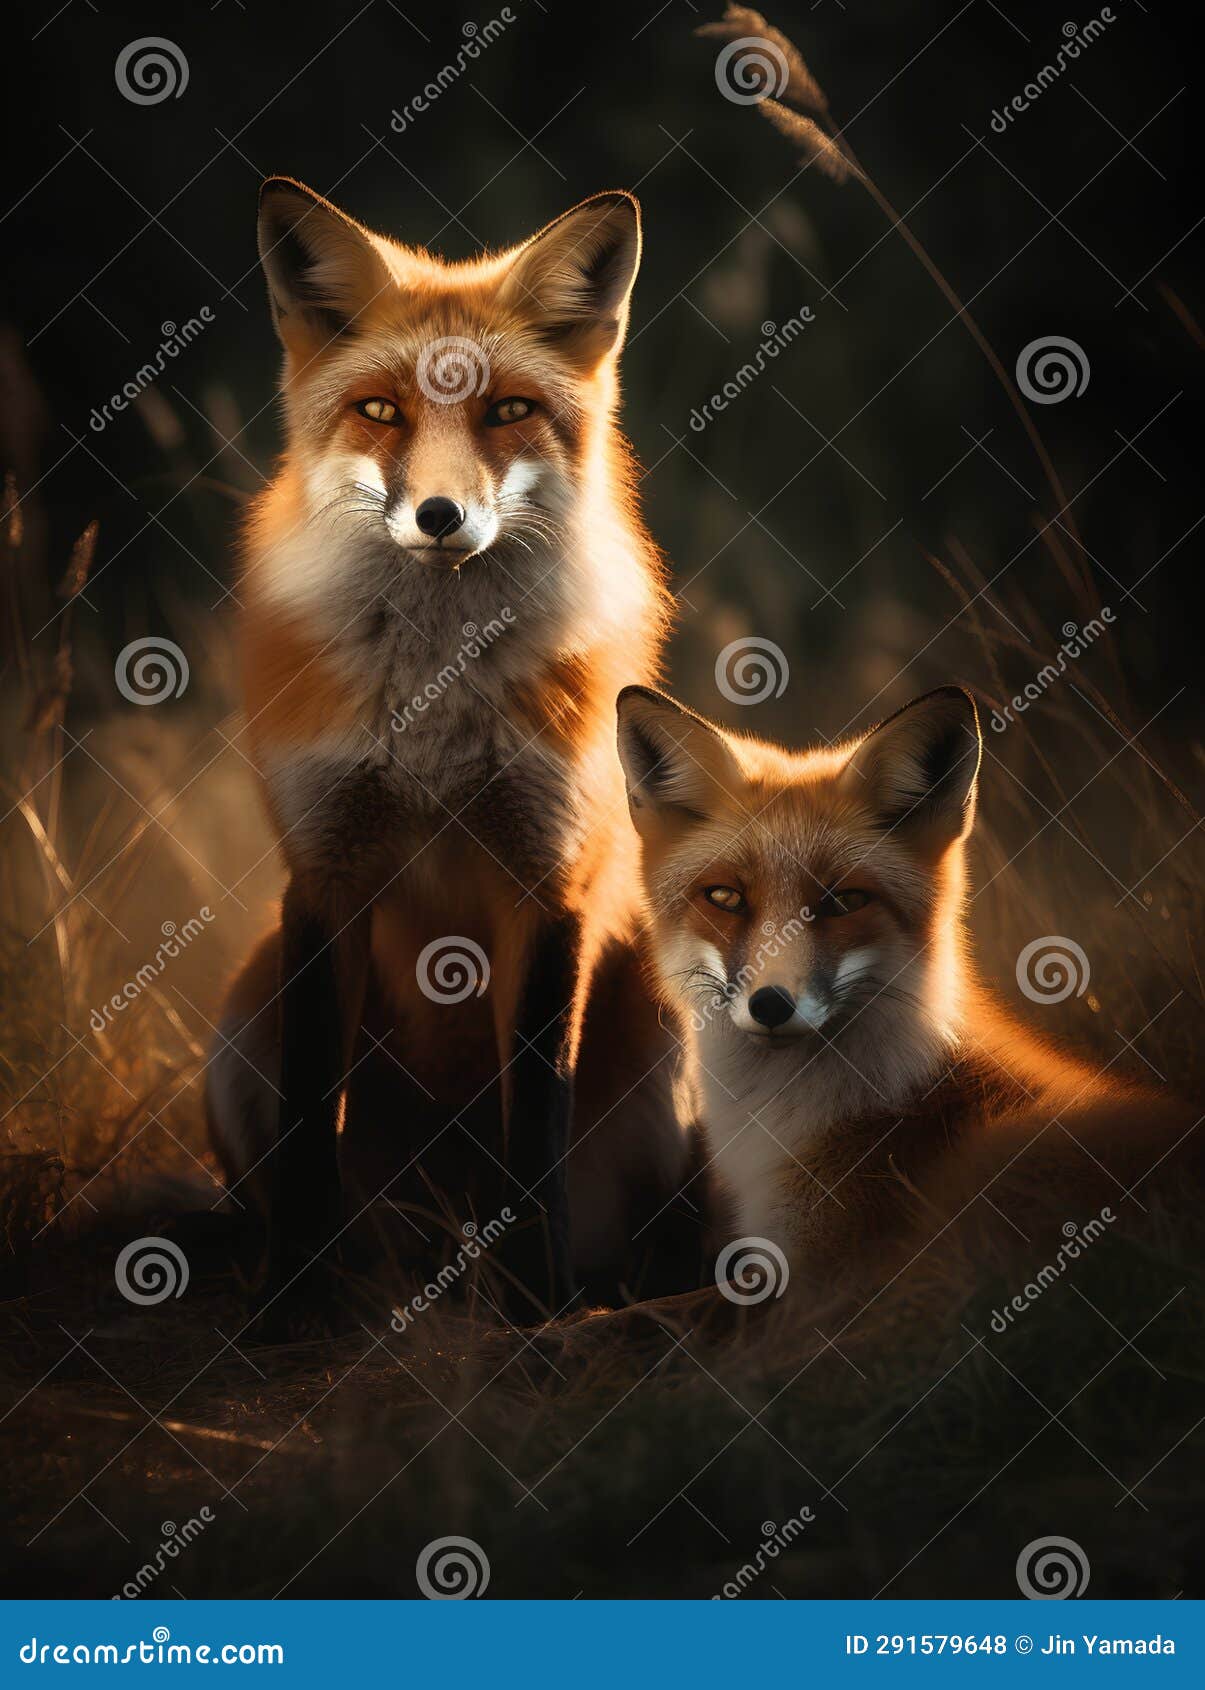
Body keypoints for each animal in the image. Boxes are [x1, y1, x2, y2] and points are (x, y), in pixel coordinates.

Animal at [205, 179, 703, 1333]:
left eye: (507, 411)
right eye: (382, 411)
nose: (440, 515)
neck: (432, 704)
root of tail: (432, 1225)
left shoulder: (548, 880)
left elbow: (537, 1132)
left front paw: (536, 1314)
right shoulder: (326, 874)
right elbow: (309, 1123)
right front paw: (287, 1311)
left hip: (666, 1023)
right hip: (235, 1035)